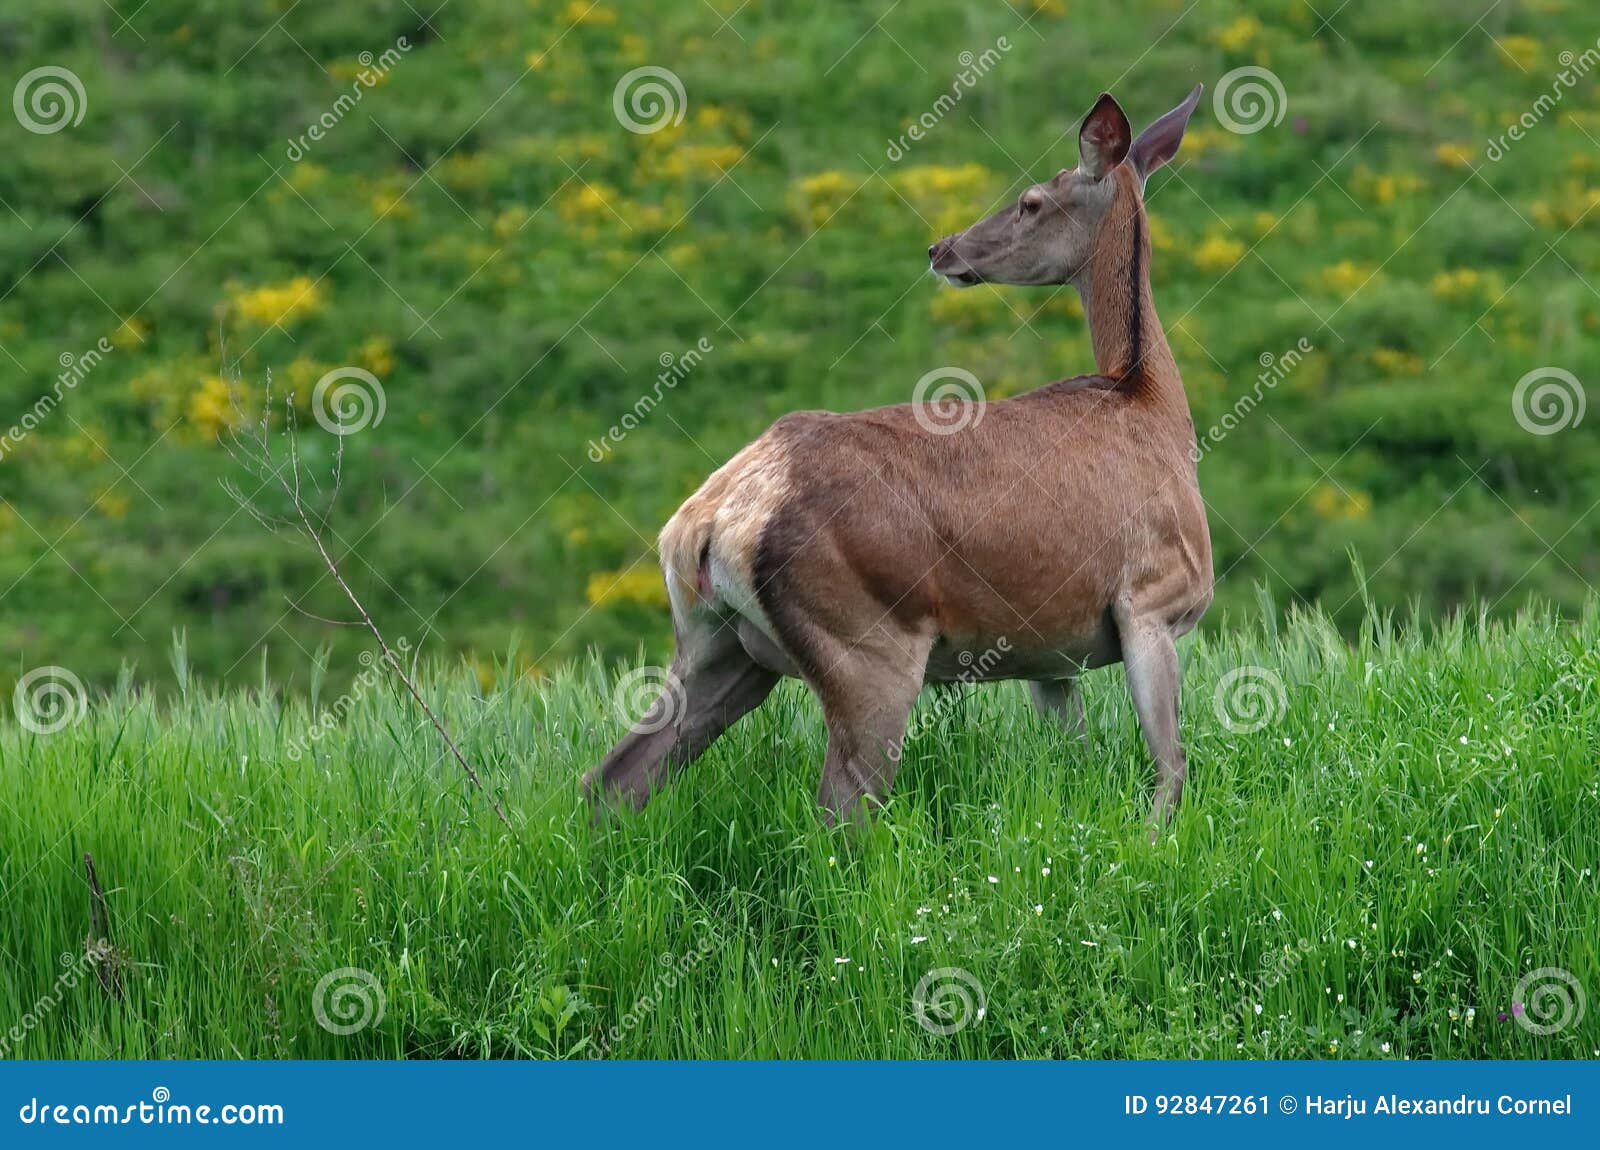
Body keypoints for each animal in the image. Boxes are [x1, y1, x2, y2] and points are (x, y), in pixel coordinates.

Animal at [584, 85, 1213, 836]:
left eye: (1031, 201)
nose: (942, 247)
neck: (1154, 408)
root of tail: (706, 522)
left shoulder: (1049, 647)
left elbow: (1079, 759)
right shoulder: (1151, 598)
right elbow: (1171, 770)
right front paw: (1151, 843)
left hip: (716, 645)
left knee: (612, 778)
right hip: (869, 644)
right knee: (840, 807)